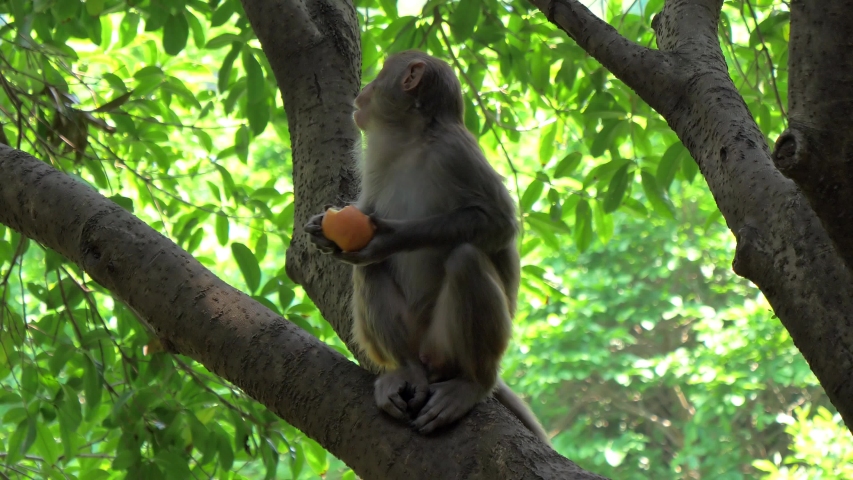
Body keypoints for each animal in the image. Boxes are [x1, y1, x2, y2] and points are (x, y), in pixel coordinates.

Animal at [304, 50, 549, 443]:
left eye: (381, 75)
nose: (363, 90)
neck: (411, 141)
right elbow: (365, 214)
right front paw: (321, 231)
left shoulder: (456, 152)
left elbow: (498, 223)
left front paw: (390, 237)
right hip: (412, 340)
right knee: (368, 268)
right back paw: (406, 369)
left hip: (447, 342)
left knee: (465, 259)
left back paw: (472, 384)